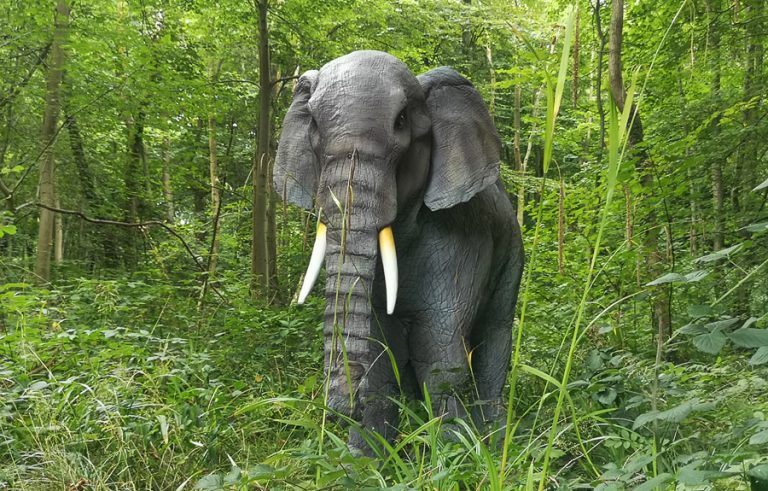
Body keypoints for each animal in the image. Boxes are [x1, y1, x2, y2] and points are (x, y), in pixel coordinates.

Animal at [274, 50, 524, 451]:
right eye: (312, 125)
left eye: (402, 121)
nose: (340, 410)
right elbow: (380, 360)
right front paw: (363, 459)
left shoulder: (462, 241)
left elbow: (440, 356)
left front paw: (451, 454)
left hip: (512, 251)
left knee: (494, 336)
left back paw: (497, 440)